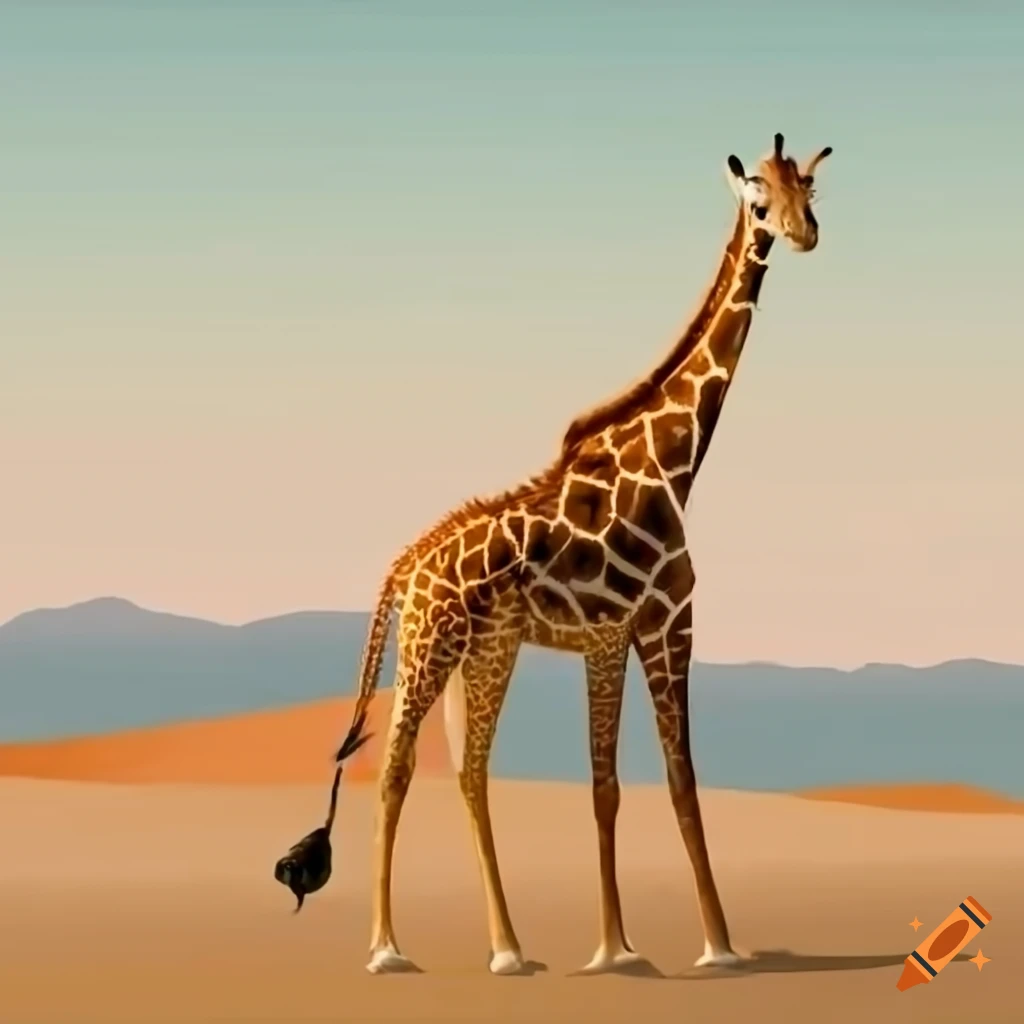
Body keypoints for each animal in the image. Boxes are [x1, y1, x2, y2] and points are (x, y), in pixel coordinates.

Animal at [331, 133, 833, 976]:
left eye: (811, 192)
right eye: (758, 197)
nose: (802, 234)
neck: (675, 466)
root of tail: (406, 567)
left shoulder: (623, 635)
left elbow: (626, 785)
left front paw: (636, 948)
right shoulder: (656, 624)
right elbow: (658, 783)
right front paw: (697, 948)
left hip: (485, 650)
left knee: (469, 771)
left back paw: (508, 949)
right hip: (430, 645)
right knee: (396, 768)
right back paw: (387, 949)